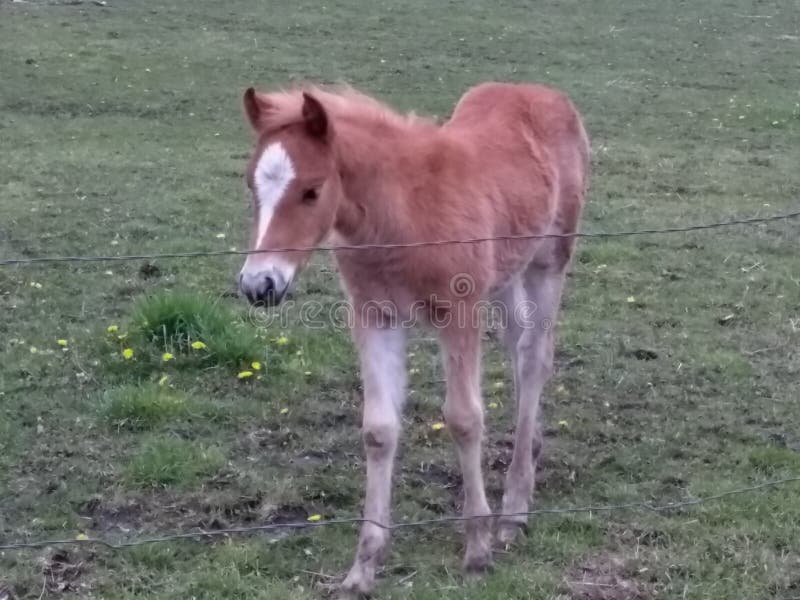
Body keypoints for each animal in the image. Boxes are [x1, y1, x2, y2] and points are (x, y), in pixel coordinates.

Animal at [237, 81, 590, 595]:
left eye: (312, 191)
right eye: (251, 186)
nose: (258, 285)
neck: (401, 215)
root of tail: (541, 92)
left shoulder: (458, 313)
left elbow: (464, 419)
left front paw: (477, 550)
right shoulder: (375, 317)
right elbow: (379, 430)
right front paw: (363, 567)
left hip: (549, 261)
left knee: (533, 358)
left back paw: (514, 509)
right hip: (506, 272)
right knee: (518, 344)